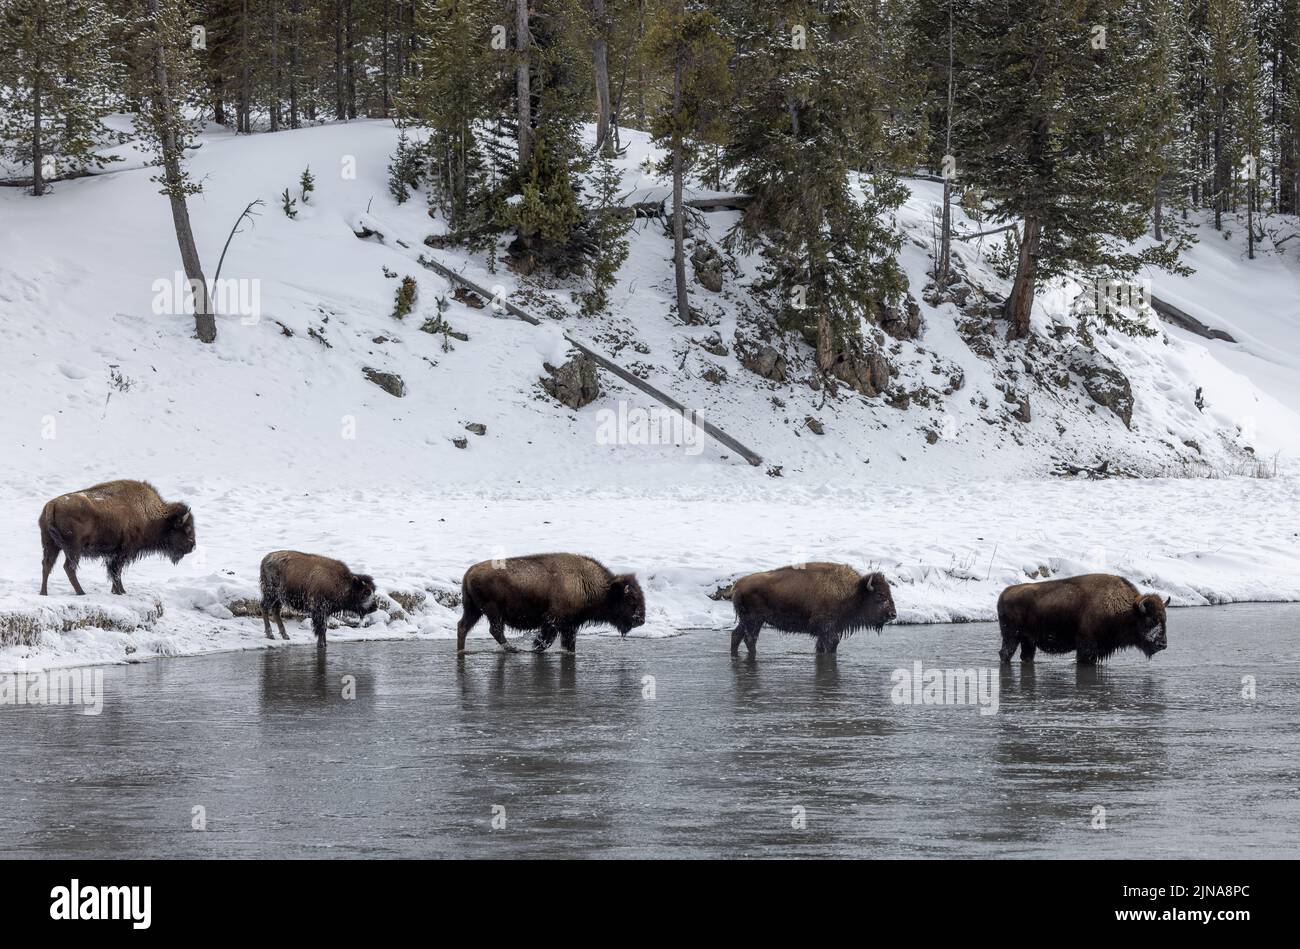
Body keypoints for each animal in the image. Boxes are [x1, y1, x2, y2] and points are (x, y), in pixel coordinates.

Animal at [39, 479, 196, 596]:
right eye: (187, 528)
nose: (193, 546)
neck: (150, 514)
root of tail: (51, 505)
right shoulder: (123, 553)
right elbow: (116, 572)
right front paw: (120, 591)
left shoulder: (115, 554)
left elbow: (115, 572)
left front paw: (119, 591)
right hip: (73, 549)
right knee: (69, 568)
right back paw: (81, 592)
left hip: (51, 546)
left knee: (47, 565)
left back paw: (44, 593)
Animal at [457, 553, 646, 652]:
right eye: (630, 599)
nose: (640, 620)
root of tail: (469, 572)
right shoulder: (553, 621)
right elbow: (544, 640)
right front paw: (535, 649)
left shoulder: (569, 626)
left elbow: (567, 644)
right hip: (492, 611)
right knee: (495, 630)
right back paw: (513, 649)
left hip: (474, 610)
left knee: (463, 626)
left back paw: (462, 650)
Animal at [729, 562, 897, 657]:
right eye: (880, 595)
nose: (893, 614)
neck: (853, 592)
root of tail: (737, 585)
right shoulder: (827, 629)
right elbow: (831, 645)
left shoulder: (825, 632)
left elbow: (820, 647)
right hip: (754, 620)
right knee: (749, 639)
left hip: (748, 621)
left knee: (737, 636)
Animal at [997, 573, 1170, 664]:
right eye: (1150, 619)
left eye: (1164, 619)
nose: (1163, 644)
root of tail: (1004, 593)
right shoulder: (1086, 649)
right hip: (1011, 637)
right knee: (1005, 653)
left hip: (1028, 641)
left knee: (1025, 656)